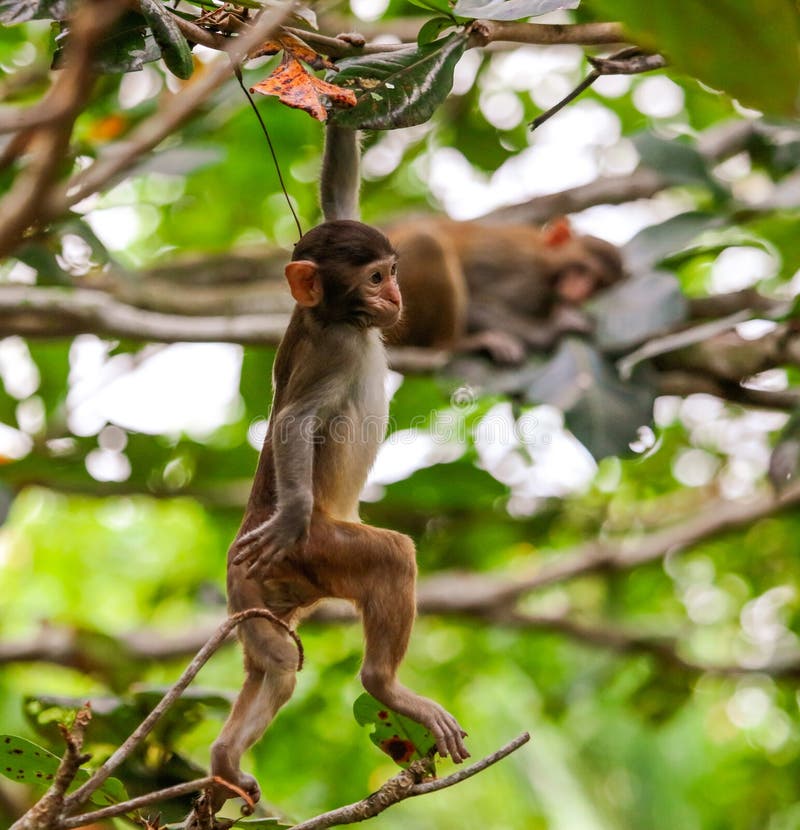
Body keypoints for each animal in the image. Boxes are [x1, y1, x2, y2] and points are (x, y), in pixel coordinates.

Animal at [207, 220, 469, 812]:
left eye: (392, 272)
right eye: (374, 278)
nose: (395, 296)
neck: (337, 319)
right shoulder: (337, 350)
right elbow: (295, 420)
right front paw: (291, 513)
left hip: (267, 594)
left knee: (272, 668)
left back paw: (224, 760)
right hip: (321, 546)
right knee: (391, 556)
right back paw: (383, 684)